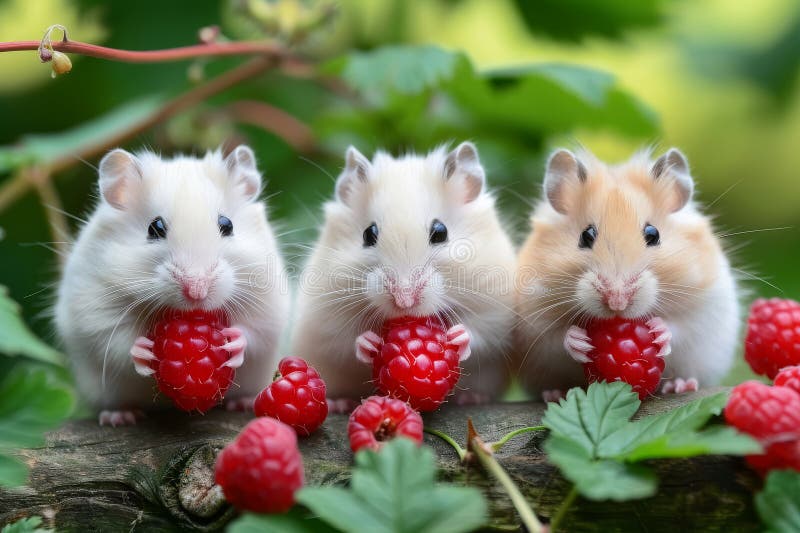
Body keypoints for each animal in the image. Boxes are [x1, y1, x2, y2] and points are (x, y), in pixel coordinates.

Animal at [55, 146, 289, 425]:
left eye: (227, 225)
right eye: (154, 228)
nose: (196, 291)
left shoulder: (268, 305)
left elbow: (254, 332)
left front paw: (232, 342)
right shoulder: (95, 310)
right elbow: (117, 341)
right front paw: (145, 350)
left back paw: (242, 403)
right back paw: (119, 416)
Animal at [291, 143, 517, 406]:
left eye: (440, 232)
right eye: (369, 234)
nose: (404, 300)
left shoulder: (495, 311)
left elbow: (480, 331)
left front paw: (457, 336)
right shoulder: (327, 319)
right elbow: (347, 341)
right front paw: (369, 342)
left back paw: (473, 398)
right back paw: (340, 402)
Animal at [515, 147, 739, 400]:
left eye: (653, 234)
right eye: (586, 236)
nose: (617, 301)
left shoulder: (706, 307)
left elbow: (682, 327)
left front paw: (660, 331)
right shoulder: (533, 322)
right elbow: (555, 339)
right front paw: (578, 340)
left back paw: (681, 385)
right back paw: (556, 394)